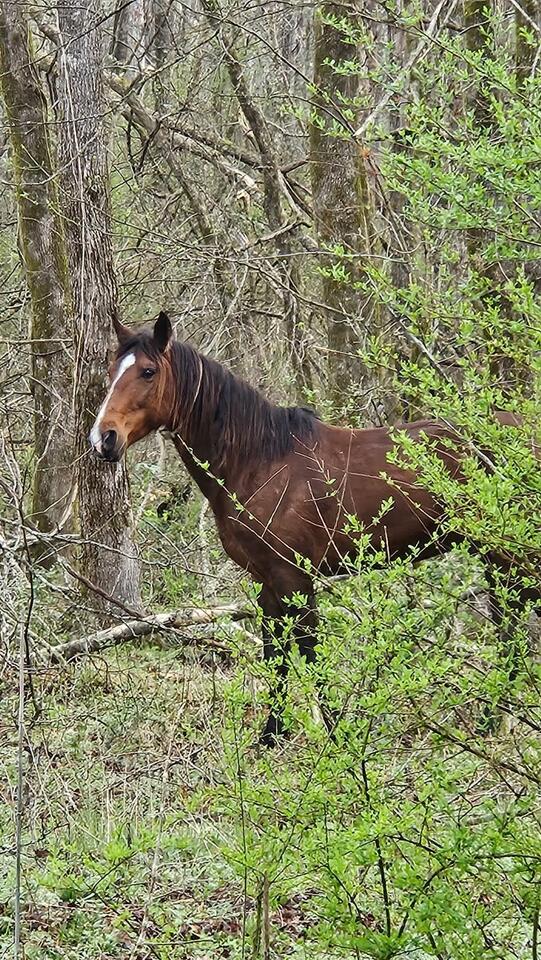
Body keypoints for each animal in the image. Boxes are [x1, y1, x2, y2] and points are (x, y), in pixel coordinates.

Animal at [89, 312, 539, 743]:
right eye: (112, 369)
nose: (103, 439)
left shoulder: (295, 578)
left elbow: (309, 652)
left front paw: (337, 736)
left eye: (148, 371)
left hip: (509, 556)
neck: (261, 462)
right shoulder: (266, 581)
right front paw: (272, 736)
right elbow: (276, 654)